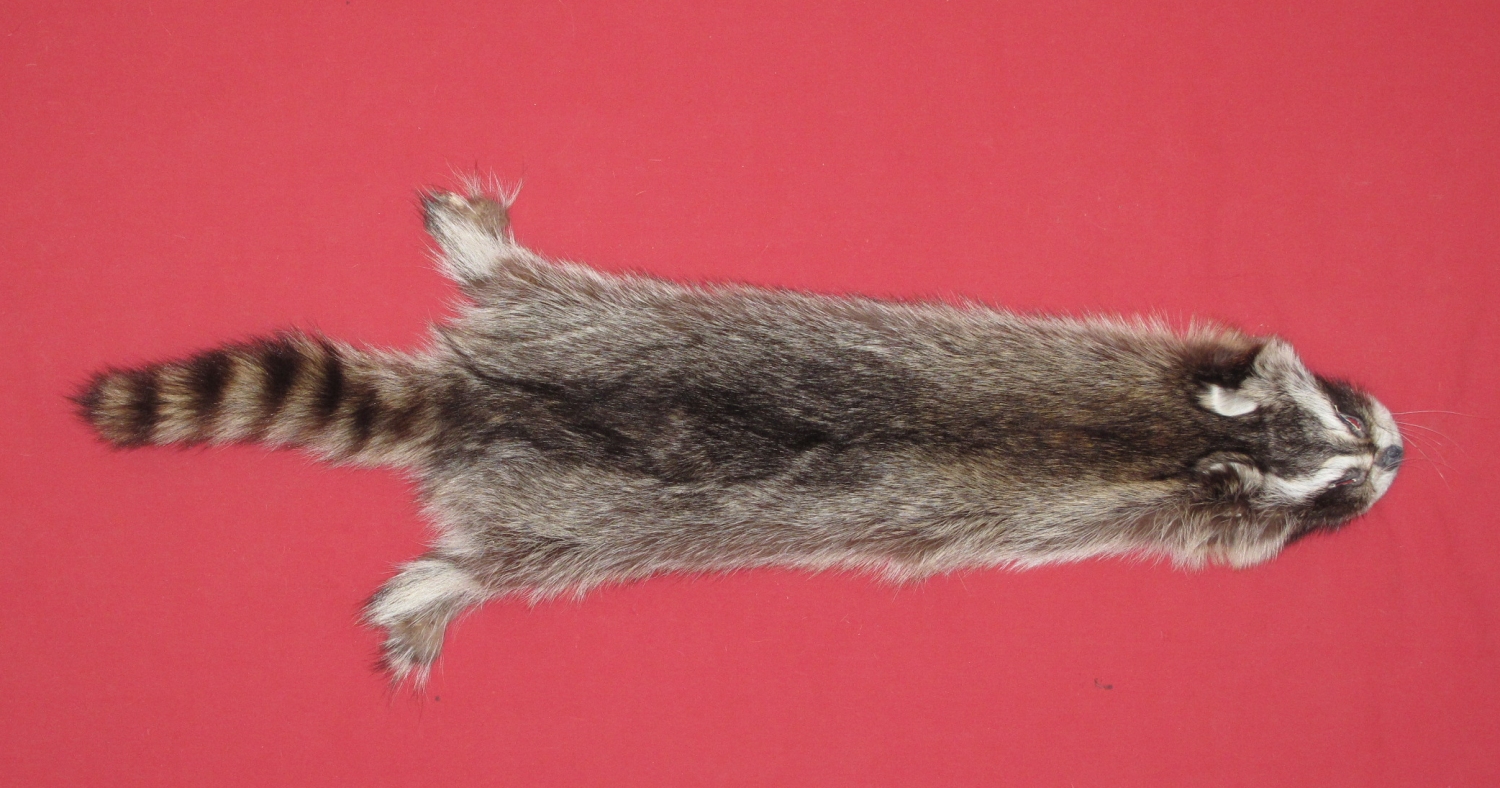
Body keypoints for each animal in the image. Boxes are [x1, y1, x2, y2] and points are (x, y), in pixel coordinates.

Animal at [76, 188, 1404, 682]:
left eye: (1347, 420)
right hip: (569, 519)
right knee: (505, 555)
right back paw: (447, 581)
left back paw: (491, 259)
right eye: (1339, 489)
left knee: (539, 289)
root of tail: (480, 401)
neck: (1180, 430)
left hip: (590, 317)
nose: (1396, 453)